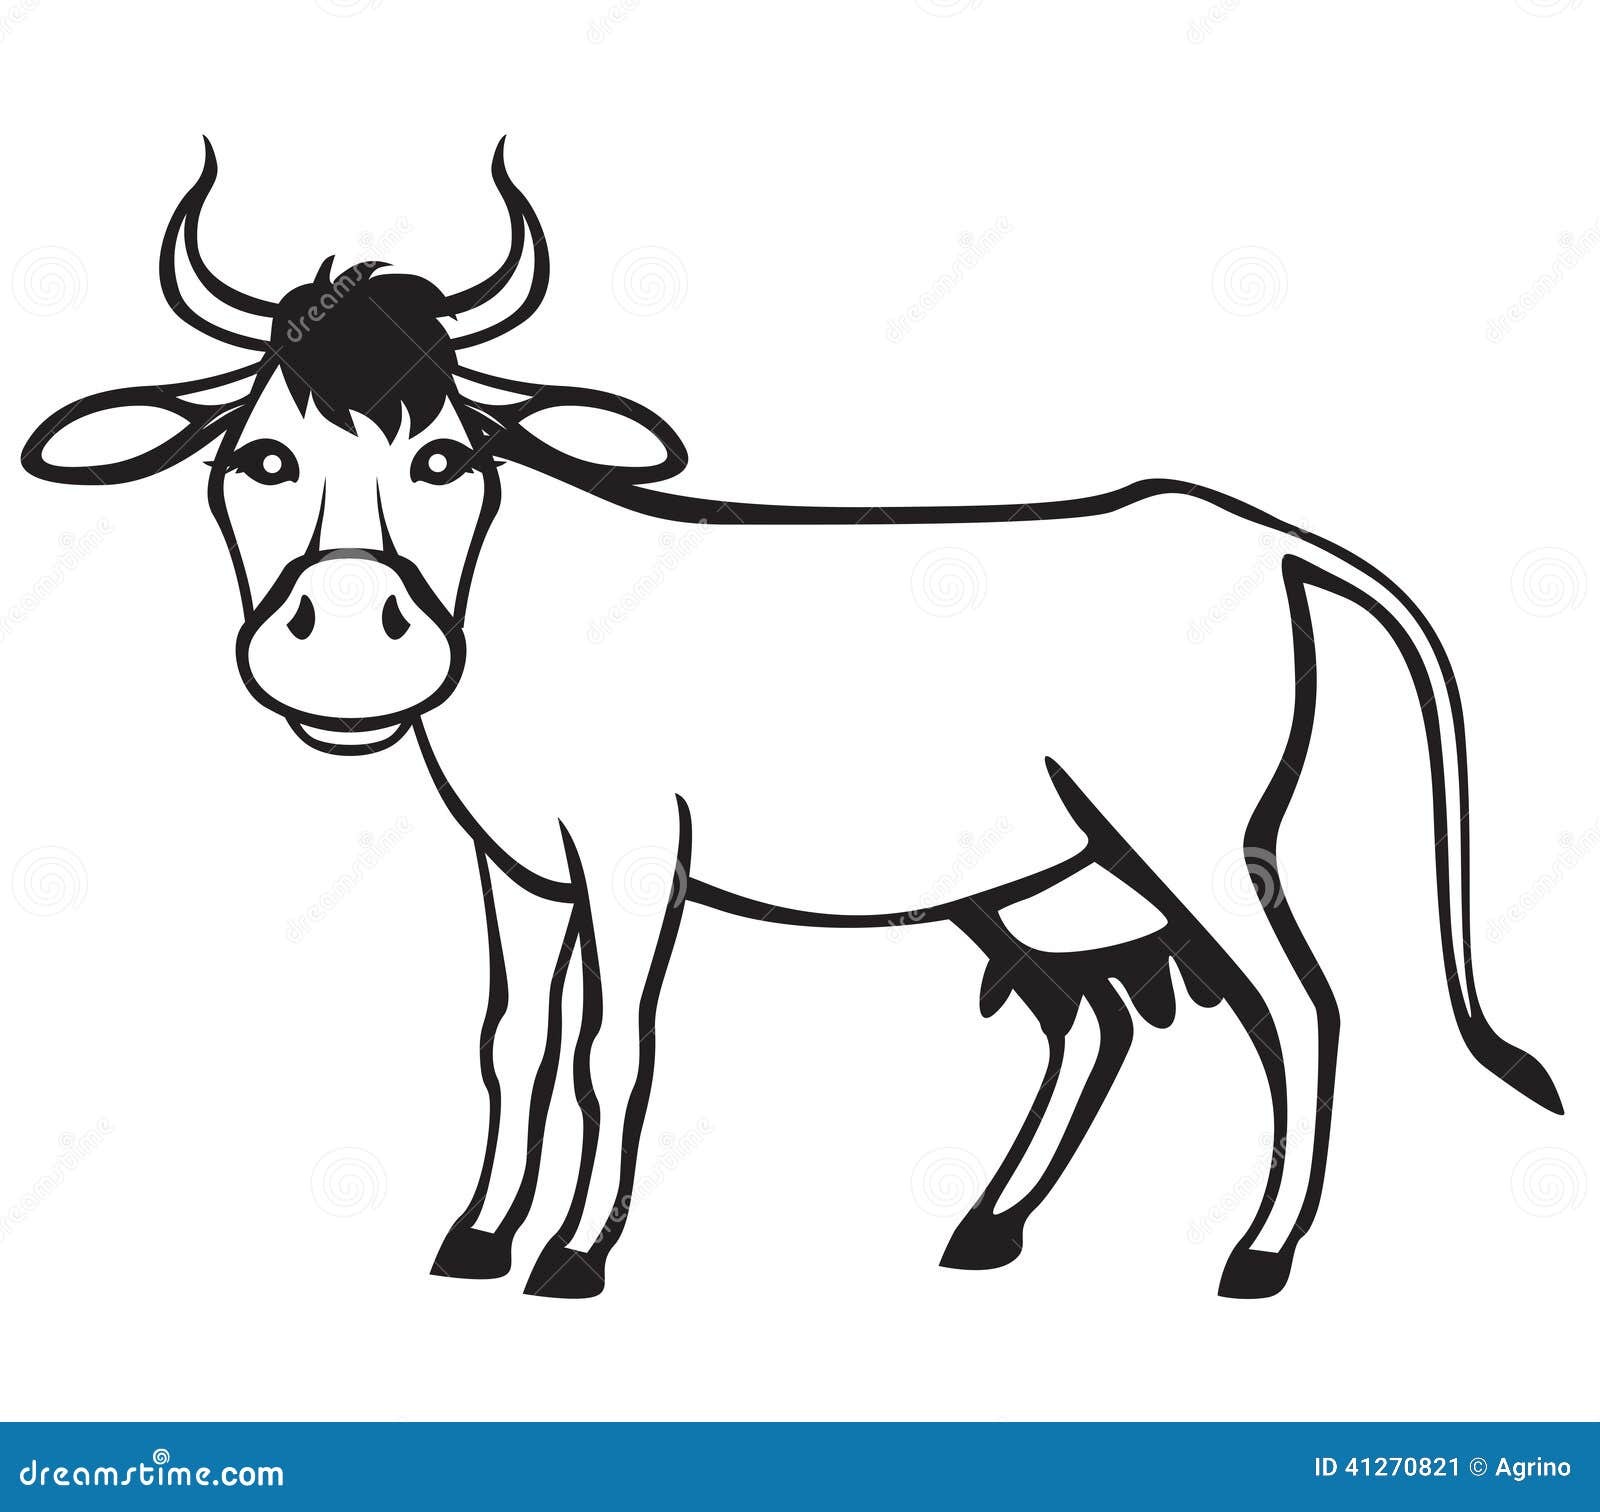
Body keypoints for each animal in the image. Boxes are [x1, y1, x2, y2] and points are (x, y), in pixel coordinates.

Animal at [22, 142, 1562, 1301]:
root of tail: (1240, 524)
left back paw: (1259, 1254)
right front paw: (476, 1235)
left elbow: (613, 1049)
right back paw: (989, 1227)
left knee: (1296, 1004)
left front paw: (574, 1255)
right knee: (1095, 1025)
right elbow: (512, 1042)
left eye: (446, 455)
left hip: (1183, 831)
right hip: (1054, 876)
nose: (344, 641)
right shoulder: (516, 864)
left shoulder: (634, 849)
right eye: (257, 459)